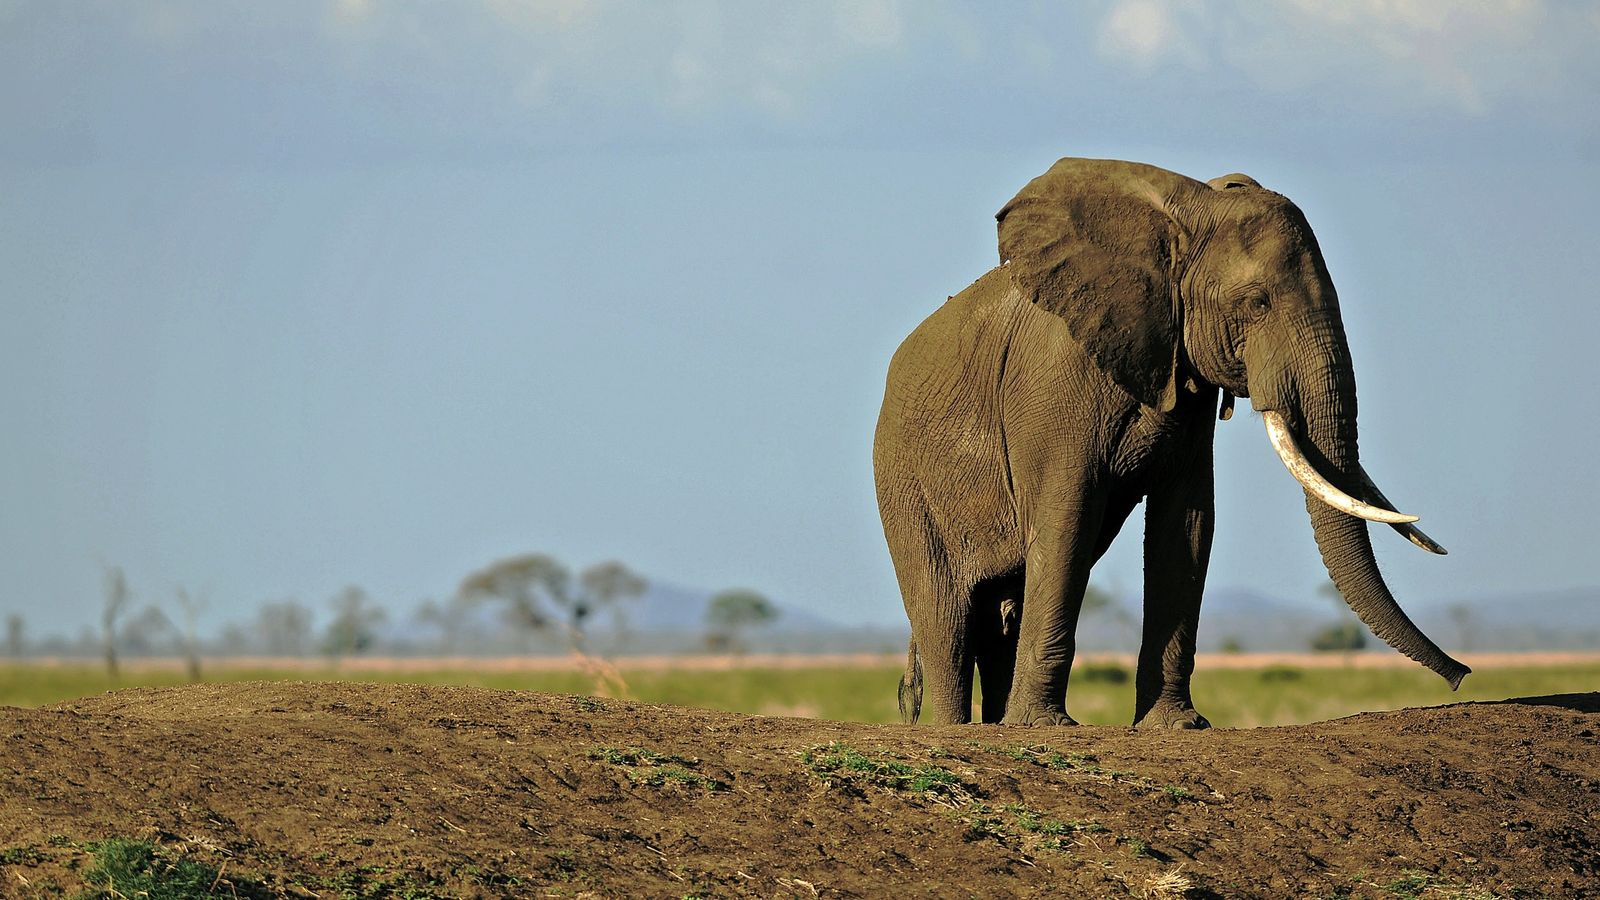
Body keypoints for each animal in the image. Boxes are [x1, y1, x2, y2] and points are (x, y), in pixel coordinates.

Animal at [873, 157, 1467, 728]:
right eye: (1256, 303)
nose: (1461, 675)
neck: (1183, 215)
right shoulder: (1054, 382)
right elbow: (1067, 519)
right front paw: (1046, 728)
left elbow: (1187, 523)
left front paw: (1178, 726)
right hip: (901, 482)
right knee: (947, 615)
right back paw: (959, 728)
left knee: (1000, 612)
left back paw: (995, 724)